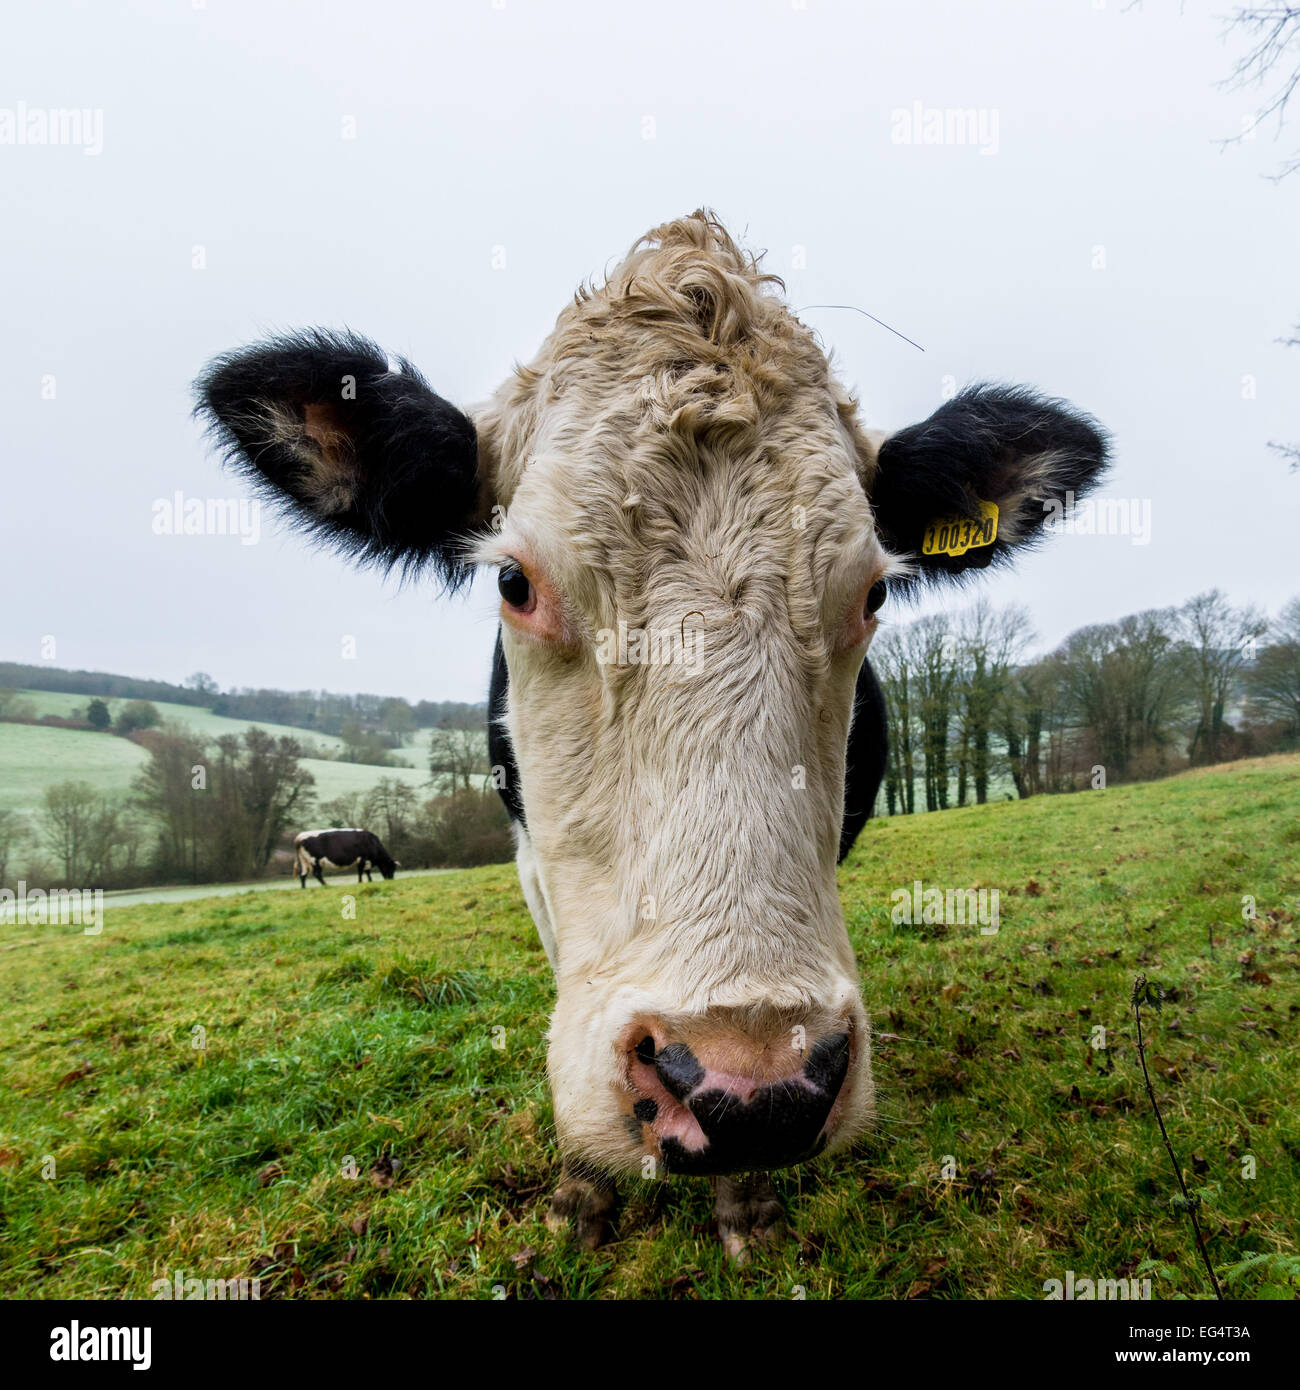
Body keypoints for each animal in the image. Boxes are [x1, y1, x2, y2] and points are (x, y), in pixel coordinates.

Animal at [197, 211, 1107, 1260]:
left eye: (875, 593)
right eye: (514, 581)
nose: (755, 1088)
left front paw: (747, 1210)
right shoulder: (534, 863)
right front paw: (580, 1197)